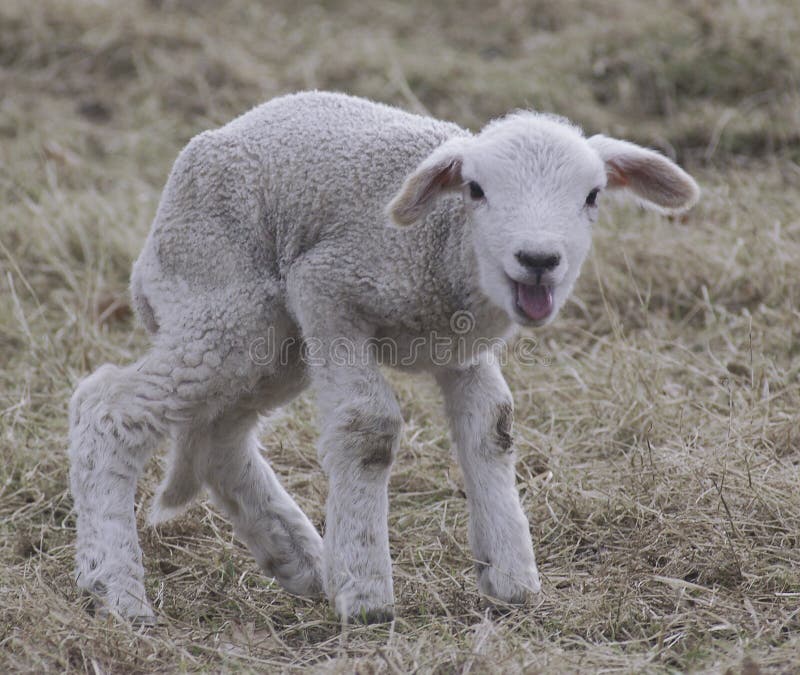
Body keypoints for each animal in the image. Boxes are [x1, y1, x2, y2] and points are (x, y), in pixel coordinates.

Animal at [68, 91, 699, 625]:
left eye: (592, 196)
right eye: (475, 190)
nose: (539, 259)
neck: (444, 245)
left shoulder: (461, 347)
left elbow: (493, 429)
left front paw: (511, 579)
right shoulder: (328, 288)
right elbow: (369, 428)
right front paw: (367, 592)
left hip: (277, 343)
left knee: (221, 439)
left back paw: (303, 561)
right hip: (225, 302)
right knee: (108, 407)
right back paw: (117, 592)